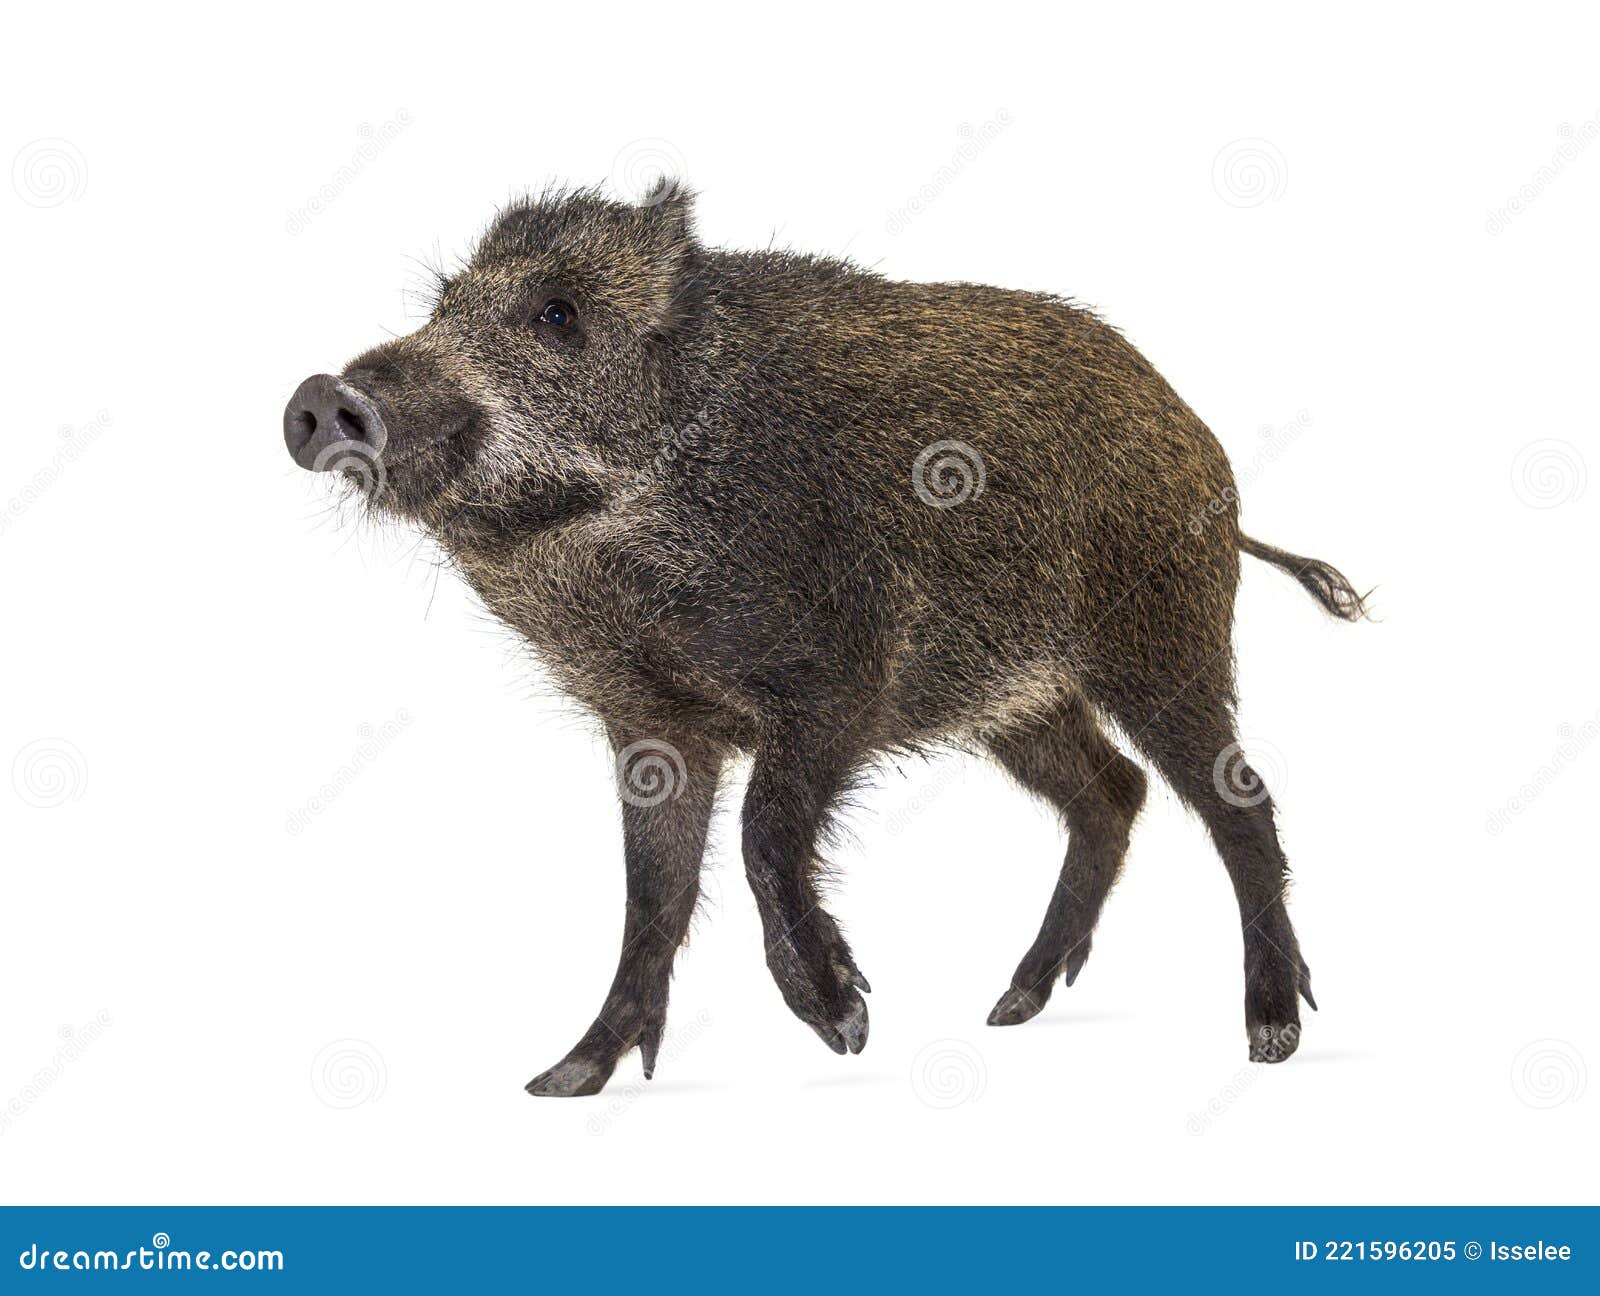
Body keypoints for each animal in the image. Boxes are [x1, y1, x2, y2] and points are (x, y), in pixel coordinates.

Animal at [283, 181, 1366, 1096]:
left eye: (557, 315)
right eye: (446, 301)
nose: (324, 396)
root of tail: (1203, 449)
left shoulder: (841, 681)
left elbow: (763, 832)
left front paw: (845, 1022)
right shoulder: (653, 724)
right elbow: (651, 893)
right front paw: (563, 1081)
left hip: (1165, 640)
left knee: (1238, 802)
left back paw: (1269, 1035)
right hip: (1015, 699)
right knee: (1112, 791)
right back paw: (1010, 1005)